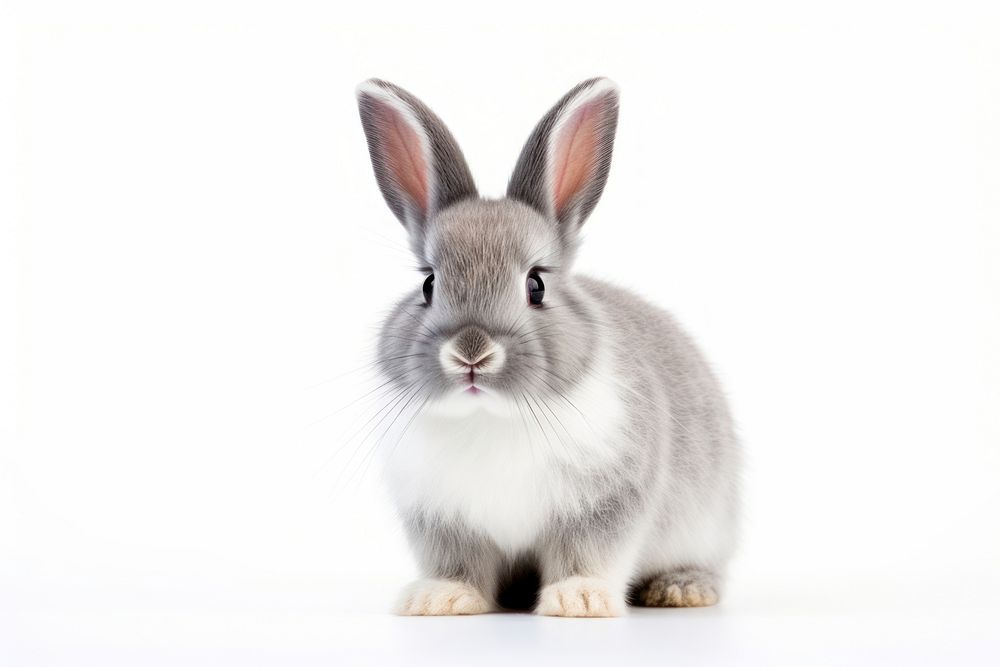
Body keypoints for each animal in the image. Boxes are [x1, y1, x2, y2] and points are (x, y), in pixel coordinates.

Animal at [354, 77, 741, 617]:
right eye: (428, 284)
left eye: (536, 285)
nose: (471, 352)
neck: (492, 418)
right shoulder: (445, 522)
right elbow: (460, 564)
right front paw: (441, 597)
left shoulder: (603, 507)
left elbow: (584, 555)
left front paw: (579, 598)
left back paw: (681, 589)